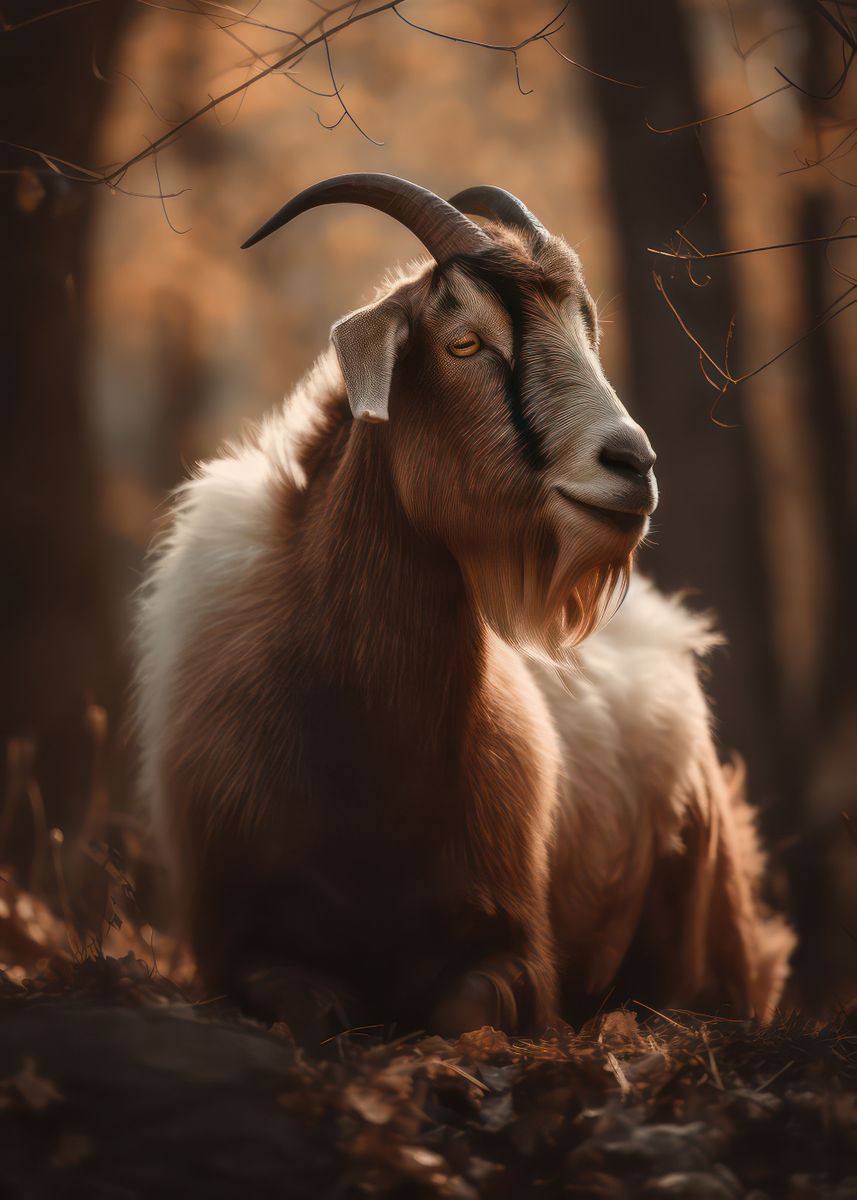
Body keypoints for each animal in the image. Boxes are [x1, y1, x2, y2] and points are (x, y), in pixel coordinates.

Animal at [136, 174, 794, 1041]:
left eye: (585, 330)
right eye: (465, 344)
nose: (633, 464)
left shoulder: (517, 952)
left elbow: (463, 1010)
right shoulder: (232, 944)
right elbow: (312, 1010)